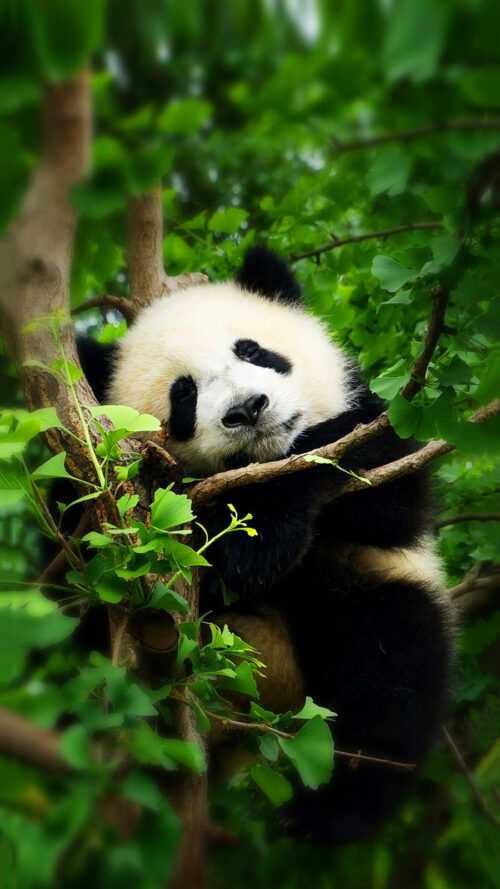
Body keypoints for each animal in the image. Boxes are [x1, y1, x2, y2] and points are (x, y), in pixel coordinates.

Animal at [80, 247, 454, 844]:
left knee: (390, 673)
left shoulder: (380, 430)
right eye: (183, 394)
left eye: (253, 350)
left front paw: (264, 528)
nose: (249, 408)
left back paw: (330, 811)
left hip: (365, 597)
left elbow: (388, 497)